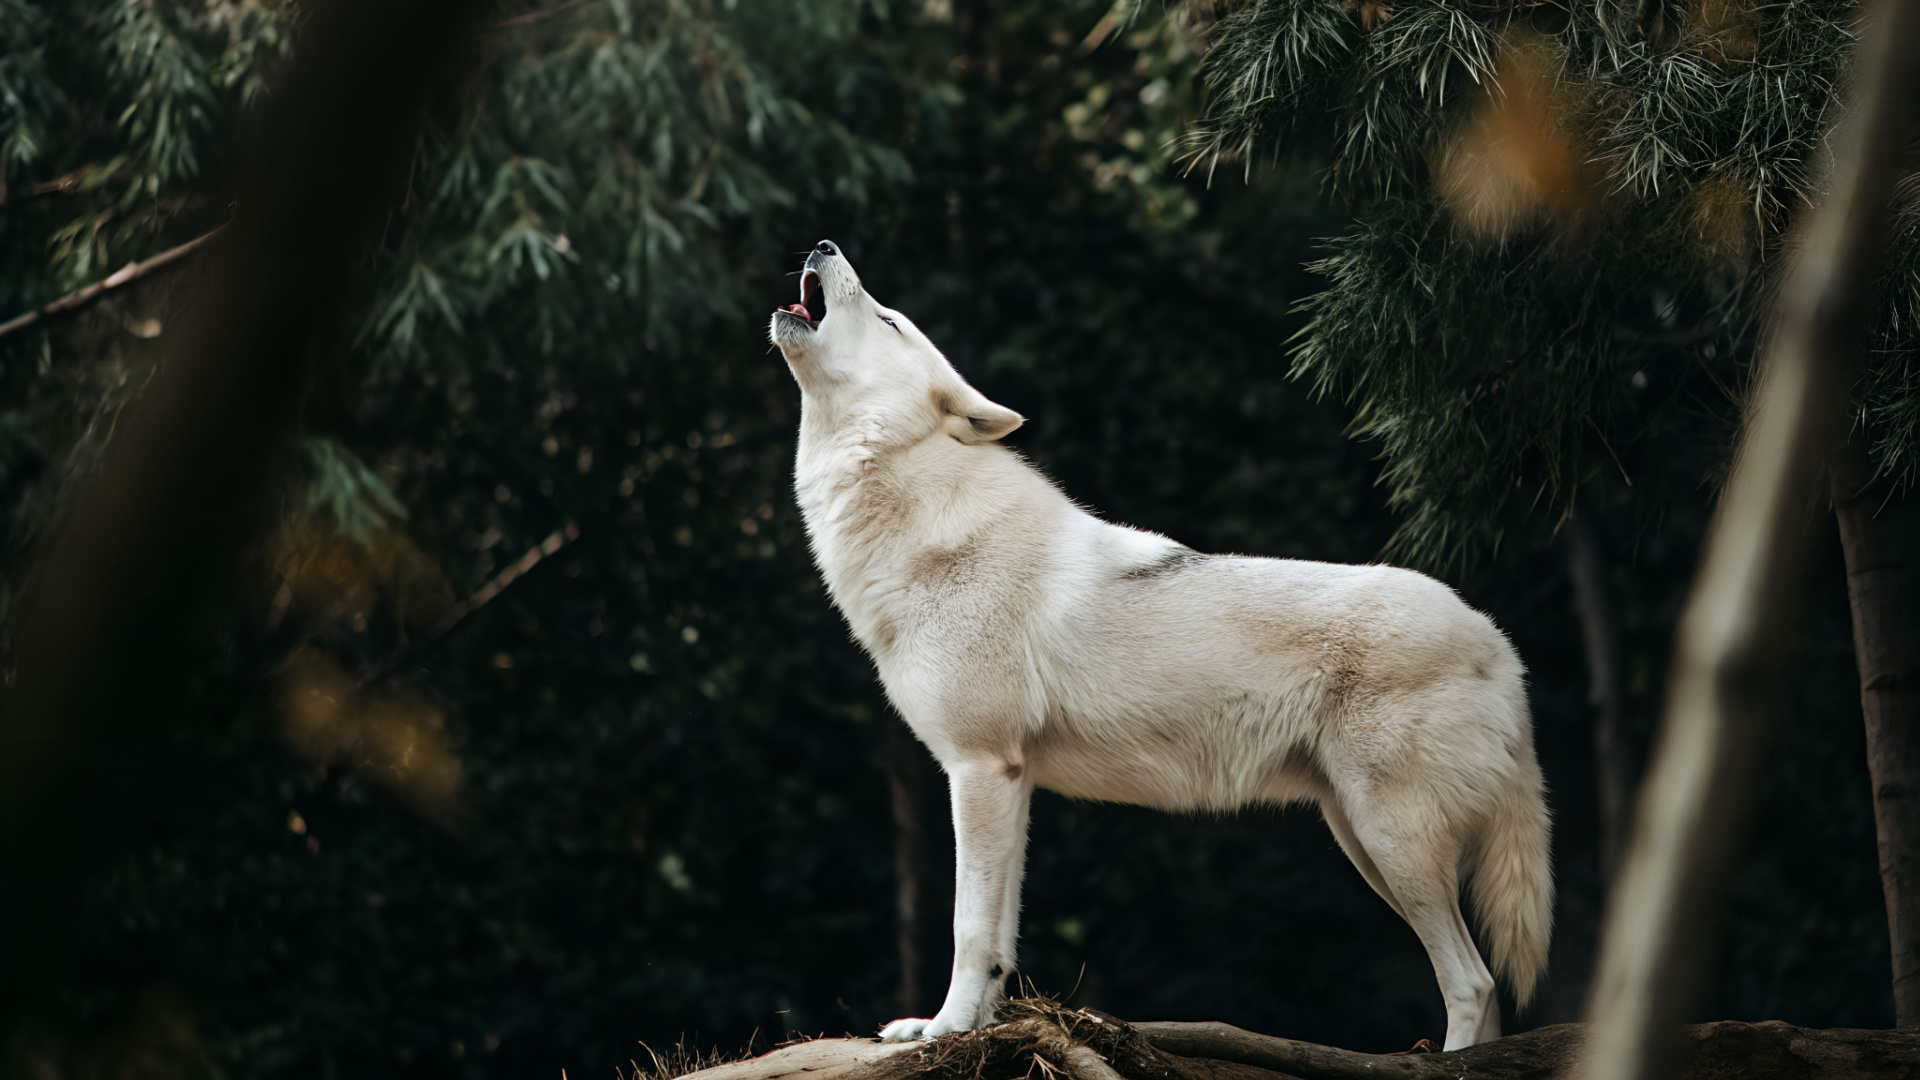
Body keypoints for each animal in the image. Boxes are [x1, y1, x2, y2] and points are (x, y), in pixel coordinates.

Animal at [767, 240, 1552, 1051]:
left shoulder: (980, 768)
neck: (918, 518)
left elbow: (968, 929)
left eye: (889, 319)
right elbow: (1002, 938)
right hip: (1361, 840)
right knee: (1485, 987)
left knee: (1473, 980)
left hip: (1392, 842)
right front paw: (978, 1027)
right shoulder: (1012, 781)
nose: (823, 245)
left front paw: (946, 1029)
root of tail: (1501, 644)